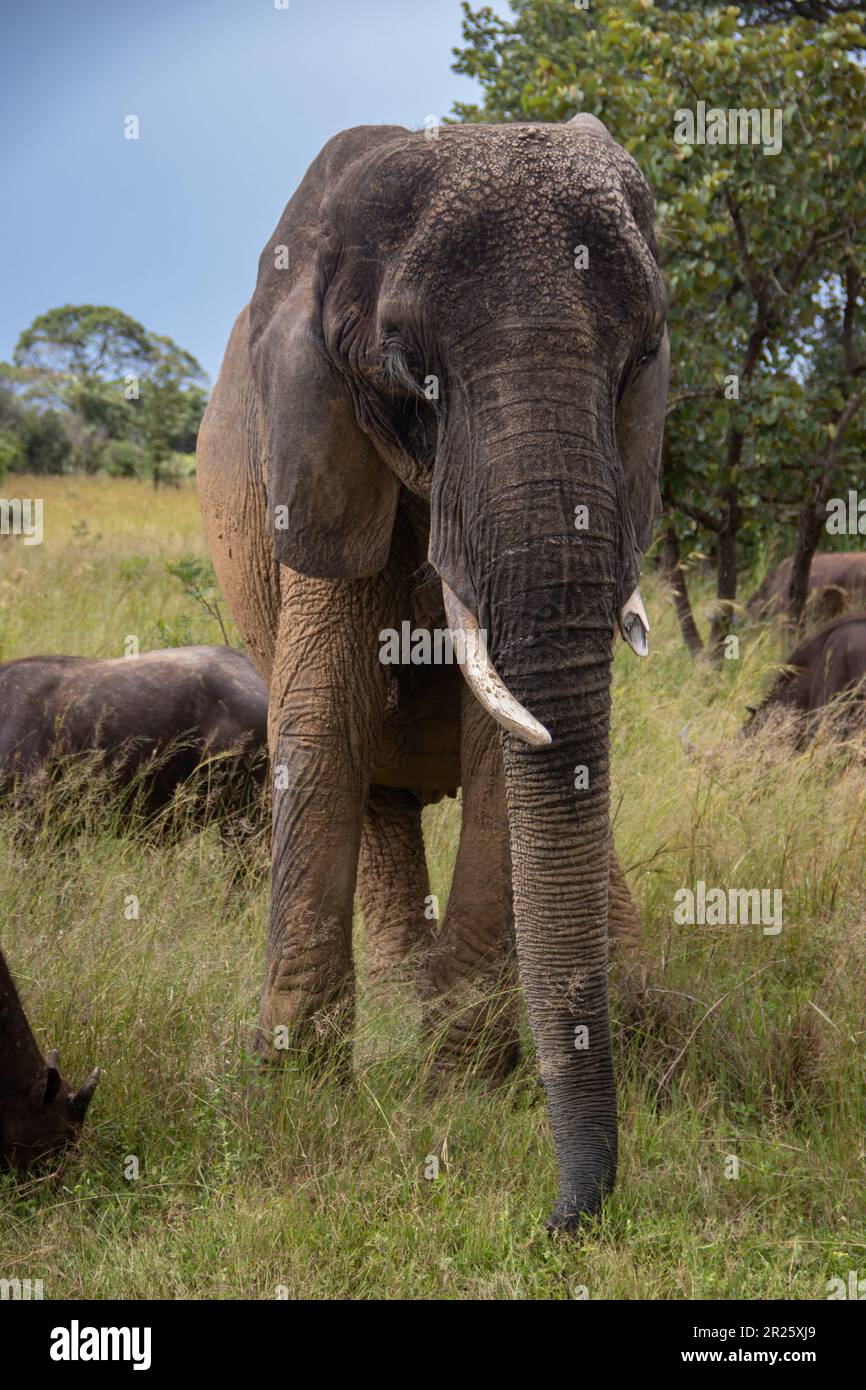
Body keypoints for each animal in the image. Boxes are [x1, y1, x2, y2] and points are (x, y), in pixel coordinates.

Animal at [197, 114, 668, 1232]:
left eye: (643, 357)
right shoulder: (317, 451)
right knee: (374, 797)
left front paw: (455, 1082)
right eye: (412, 370)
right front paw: (291, 1085)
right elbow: (321, 715)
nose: (566, 1216)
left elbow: (510, 747)